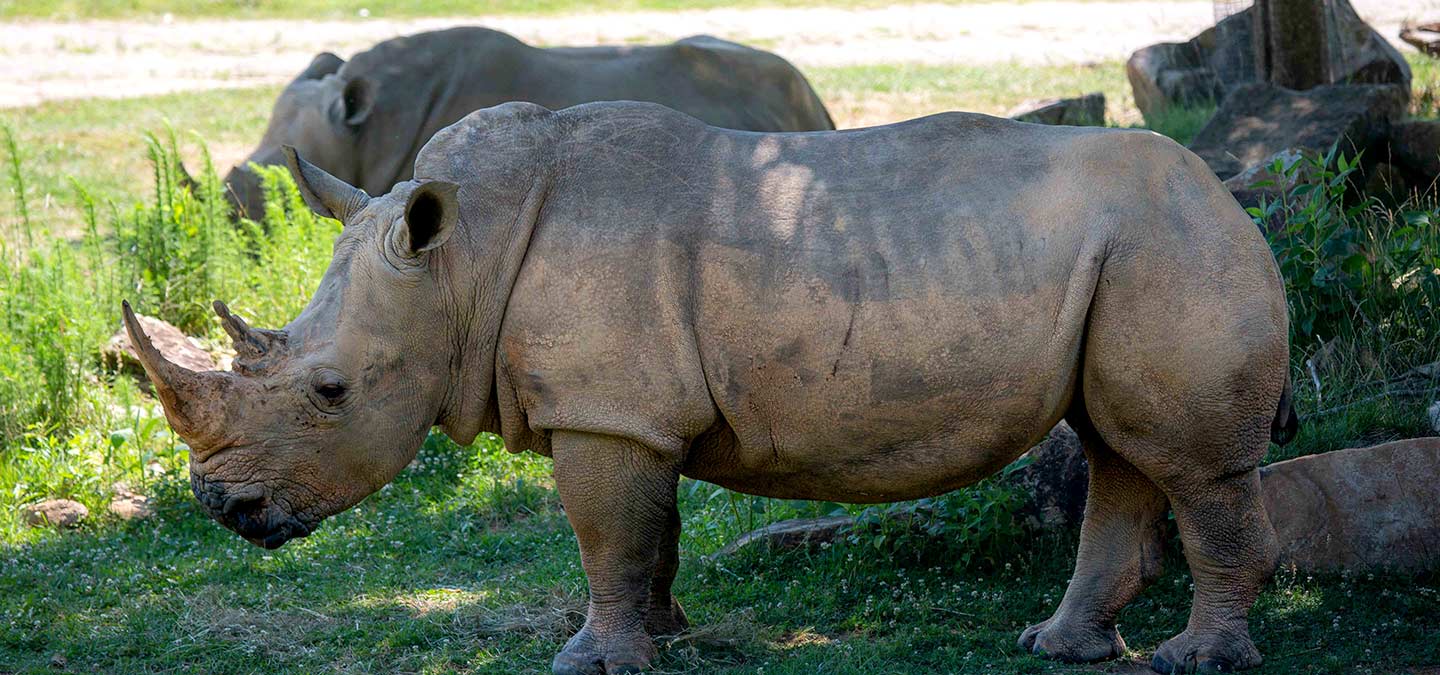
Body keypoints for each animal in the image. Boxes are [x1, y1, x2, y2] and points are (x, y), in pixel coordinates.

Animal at [125, 101, 1296, 674]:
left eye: (328, 391)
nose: (223, 509)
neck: (458, 263)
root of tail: (1232, 191)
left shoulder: (605, 413)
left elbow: (605, 532)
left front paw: (591, 660)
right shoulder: (630, 412)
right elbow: (650, 533)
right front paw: (663, 636)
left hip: (1174, 249)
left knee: (1188, 463)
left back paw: (1197, 661)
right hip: (1138, 251)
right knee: (1116, 446)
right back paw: (1063, 649)